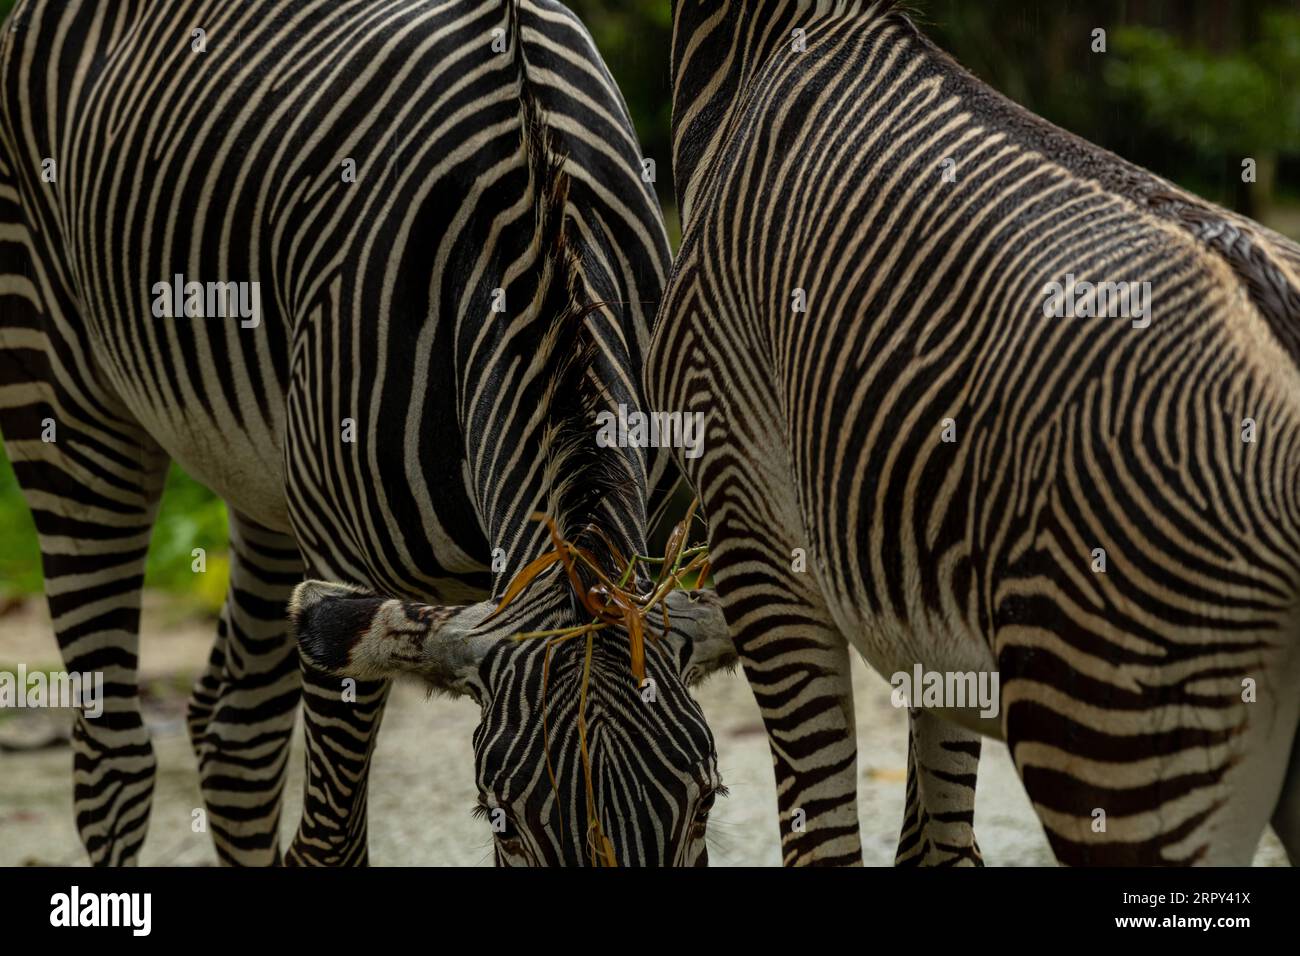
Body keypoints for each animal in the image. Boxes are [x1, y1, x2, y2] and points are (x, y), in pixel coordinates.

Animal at [0, 0, 738, 867]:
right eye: (501, 818)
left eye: (705, 803)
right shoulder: (347, 574)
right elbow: (329, 843)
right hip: (64, 405)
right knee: (113, 763)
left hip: (267, 483)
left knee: (236, 734)